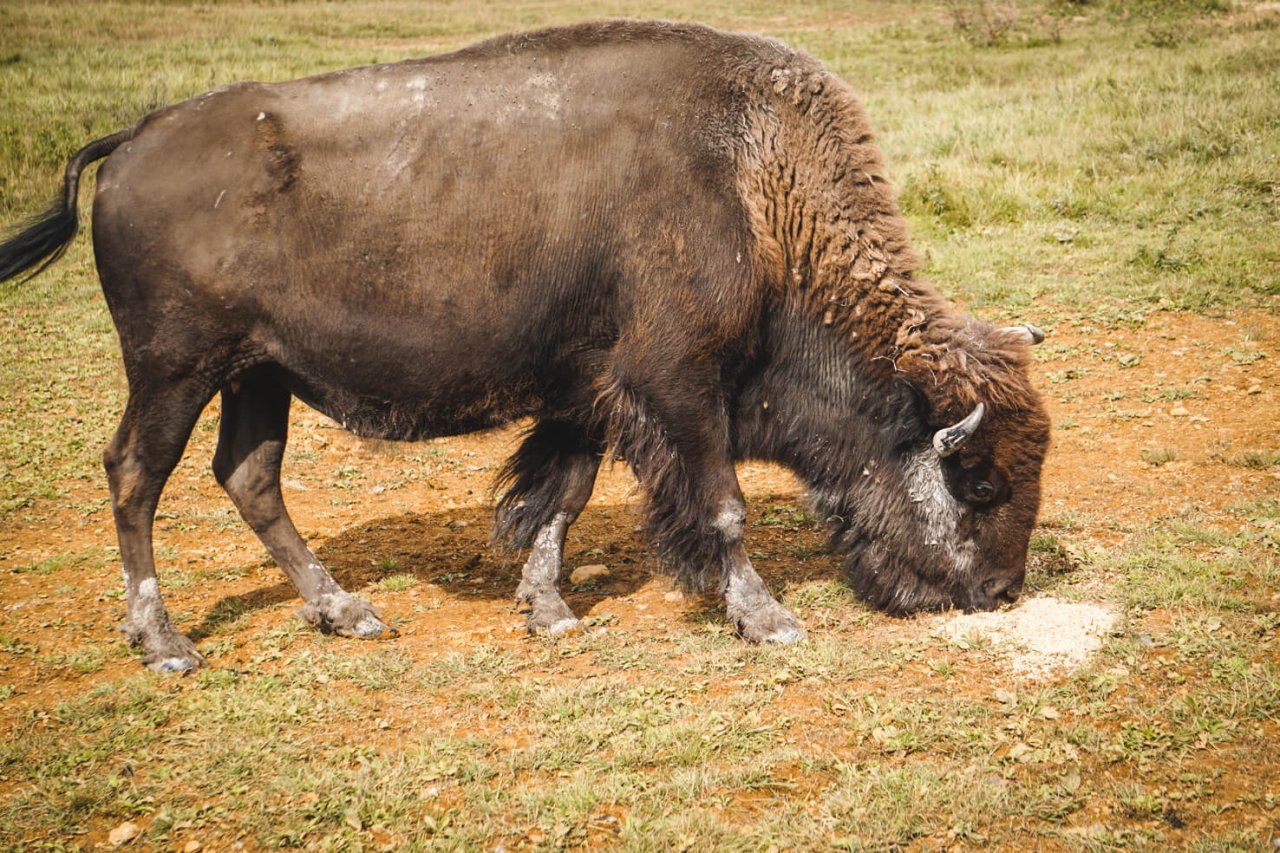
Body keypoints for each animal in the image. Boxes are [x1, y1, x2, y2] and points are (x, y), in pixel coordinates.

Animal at [0, 21, 1049, 671]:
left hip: (257, 374)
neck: (753, 187)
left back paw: (347, 612)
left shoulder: (589, 391)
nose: (999, 590)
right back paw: (168, 643)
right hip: (174, 370)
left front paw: (548, 609)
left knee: (249, 476)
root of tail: (134, 137)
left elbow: (561, 497)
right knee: (136, 476)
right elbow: (722, 505)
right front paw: (767, 618)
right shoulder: (677, 383)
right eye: (977, 482)